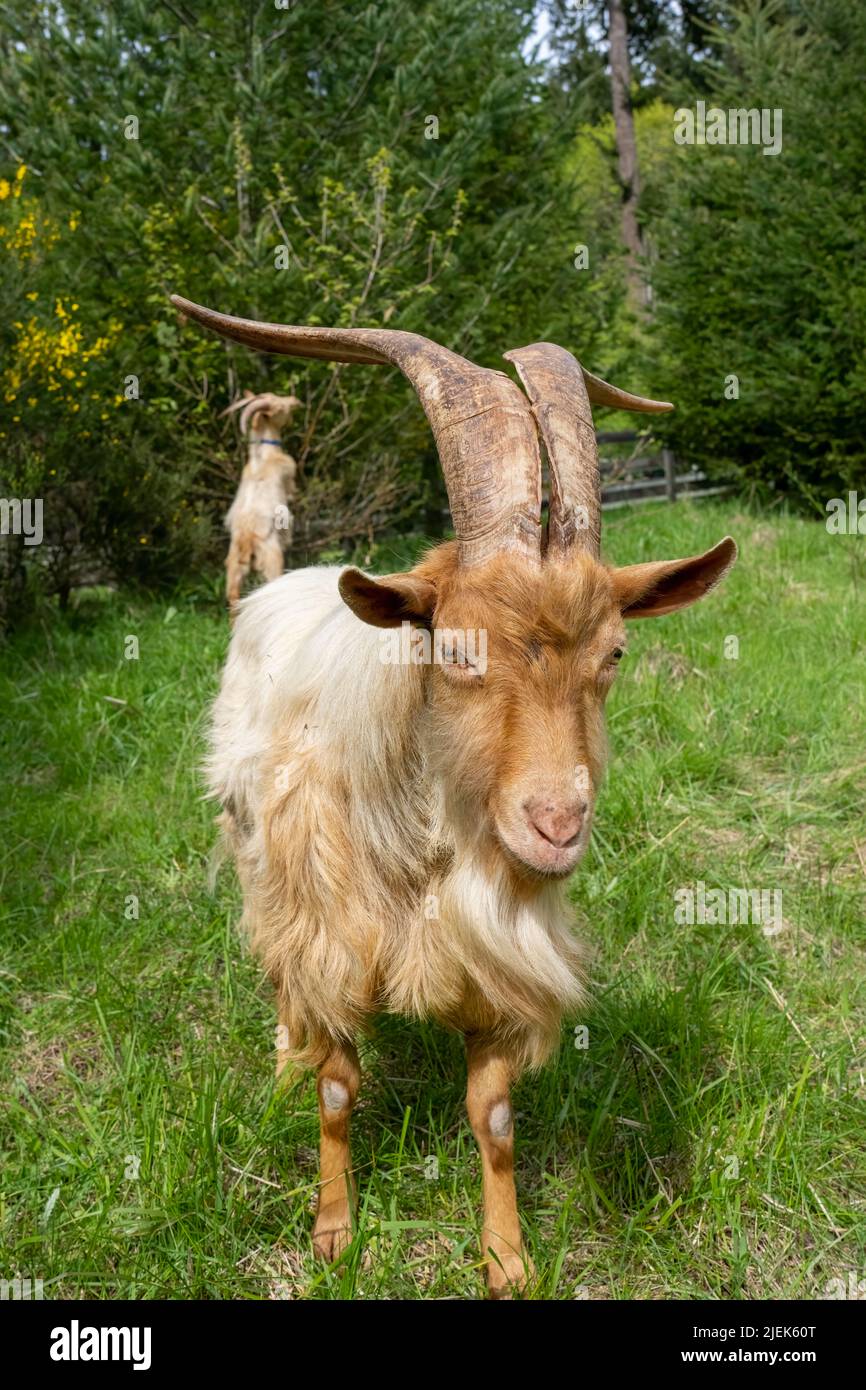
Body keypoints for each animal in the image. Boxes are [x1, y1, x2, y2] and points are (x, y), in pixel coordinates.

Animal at [222, 389, 301, 614]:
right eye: (279, 406)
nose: (295, 401)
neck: (264, 455)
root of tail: (246, 539)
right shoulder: (289, 471)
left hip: (234, 567)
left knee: (234, 600)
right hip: (272, 558)